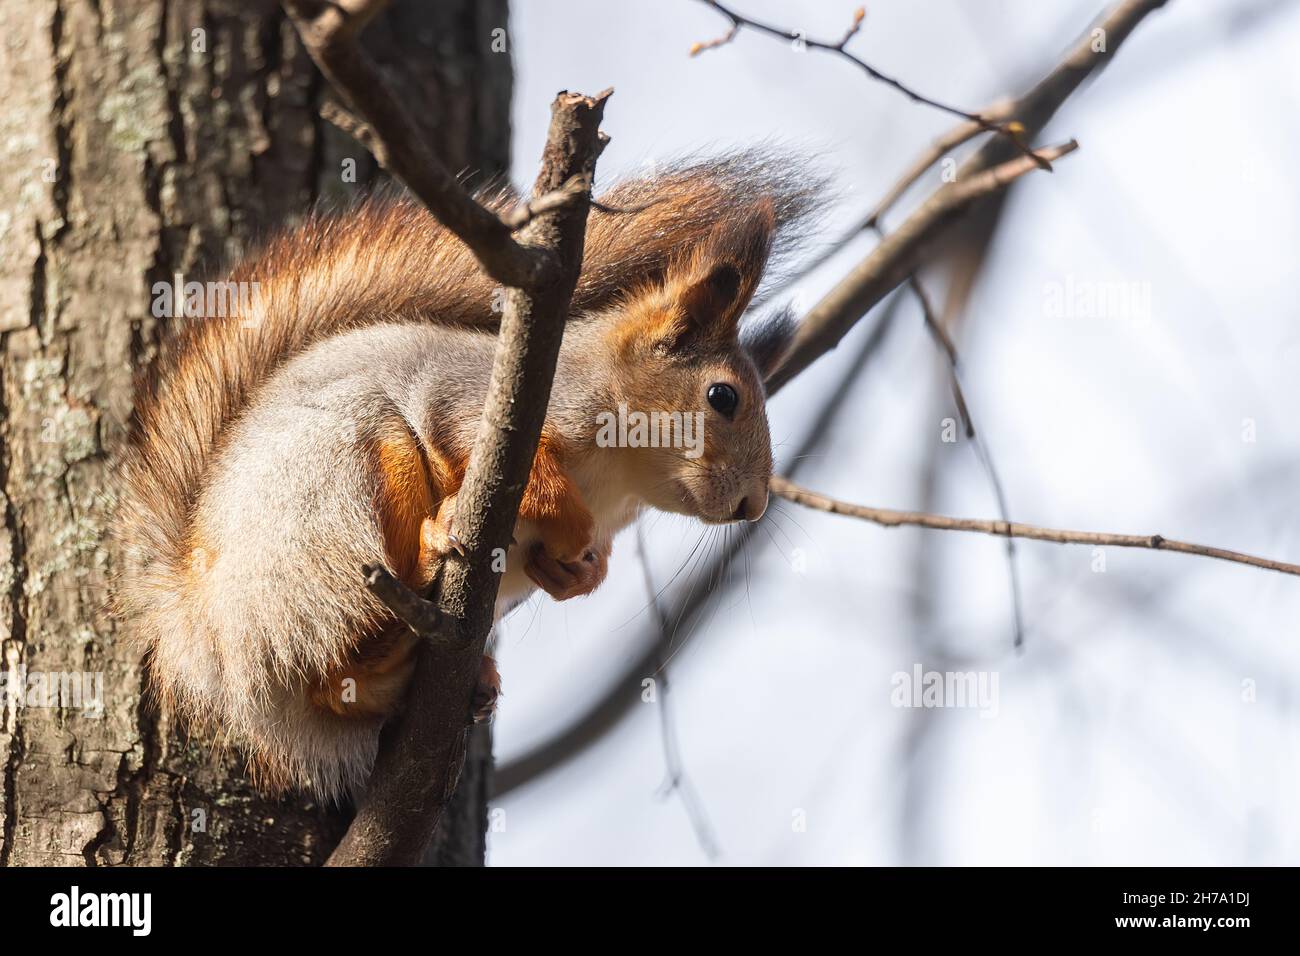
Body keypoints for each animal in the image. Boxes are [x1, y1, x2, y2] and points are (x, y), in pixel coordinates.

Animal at [115, 152, 820, 799]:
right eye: (722, 397)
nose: (754, 505)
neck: (618, 484)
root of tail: (210, 642)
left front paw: (581, 573)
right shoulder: (468, 399)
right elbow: (478, 445)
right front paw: (561, 512)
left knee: (342, 693)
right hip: (343, 482)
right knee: (336, 659)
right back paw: (427, 560)